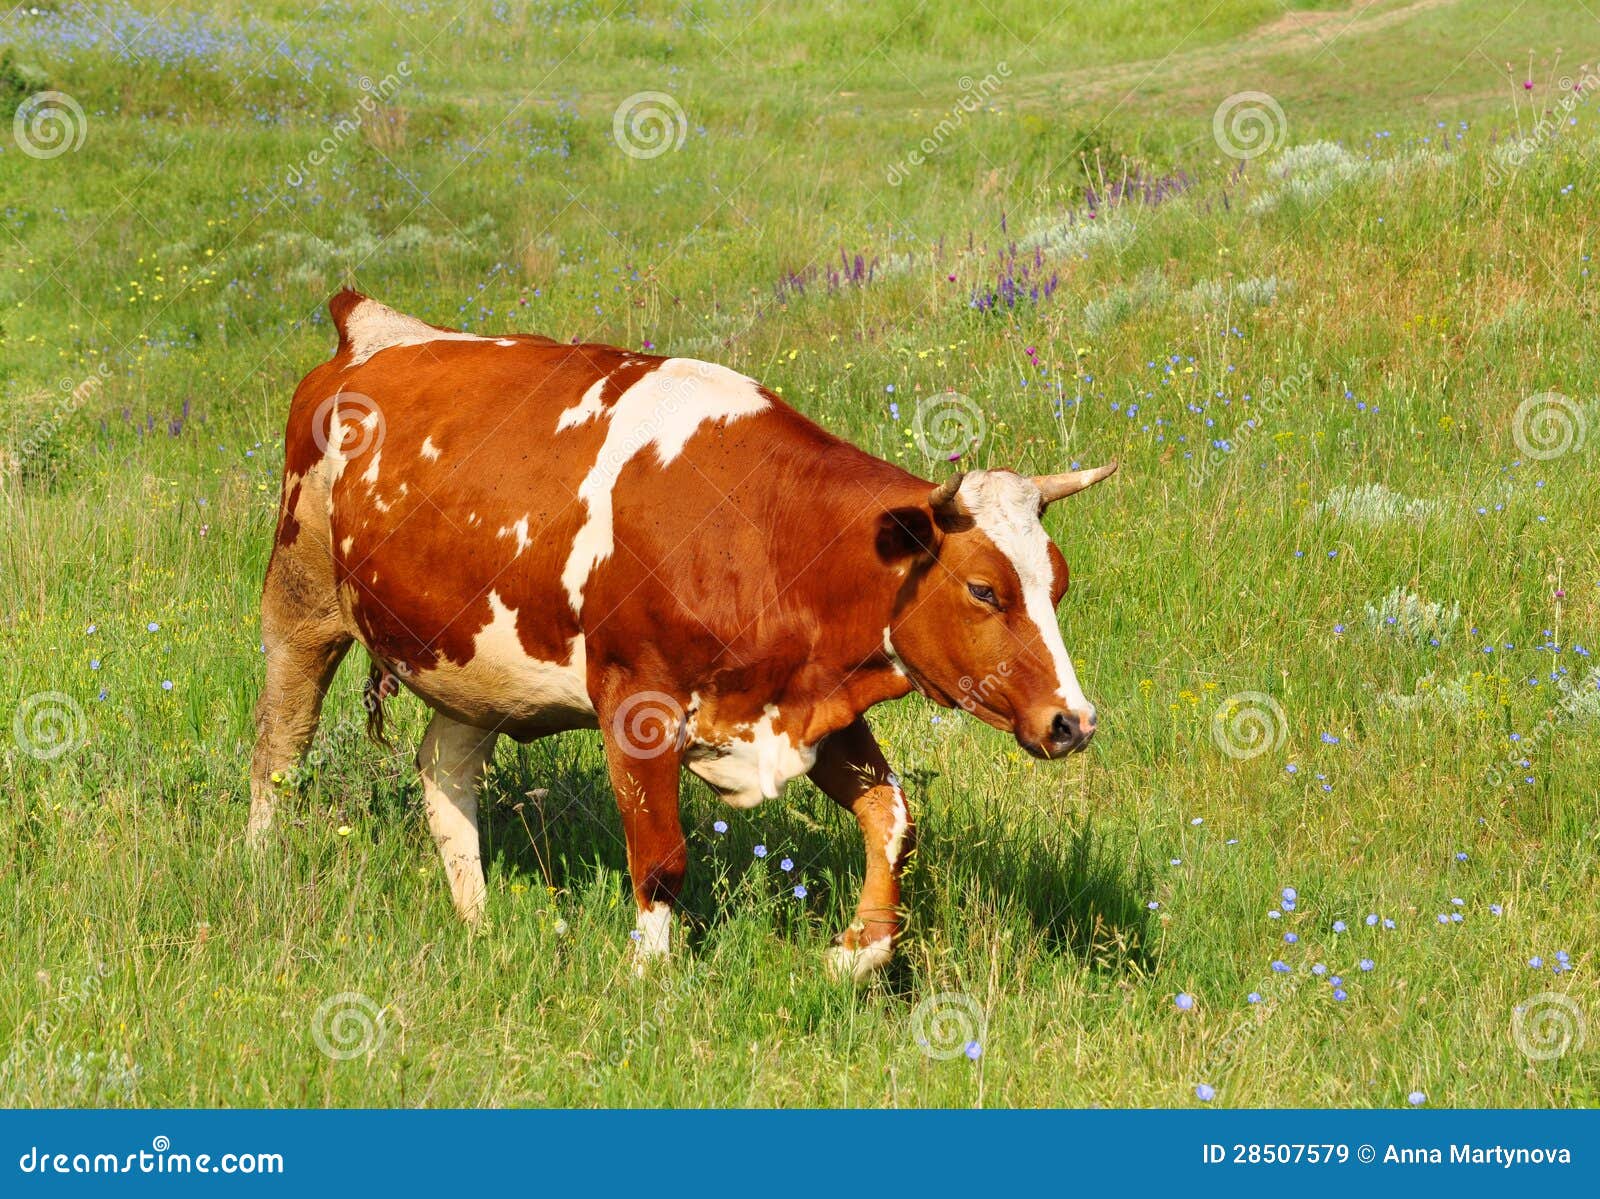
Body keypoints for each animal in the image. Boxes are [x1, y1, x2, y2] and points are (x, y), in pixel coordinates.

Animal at [248, 289, 1115, 979]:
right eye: (984, 589)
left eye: (1059, 584)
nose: (1073, 722)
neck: (763, 531)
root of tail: (373, 326)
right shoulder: (638, 702)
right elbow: (661, 857)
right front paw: (647, 976)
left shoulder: (813, 701)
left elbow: (892, 817)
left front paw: (855, 949)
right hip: (300, 602)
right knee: (278, 748)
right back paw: (261, 867)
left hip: (472, 666)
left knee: (443, 770)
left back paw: (478, 920)